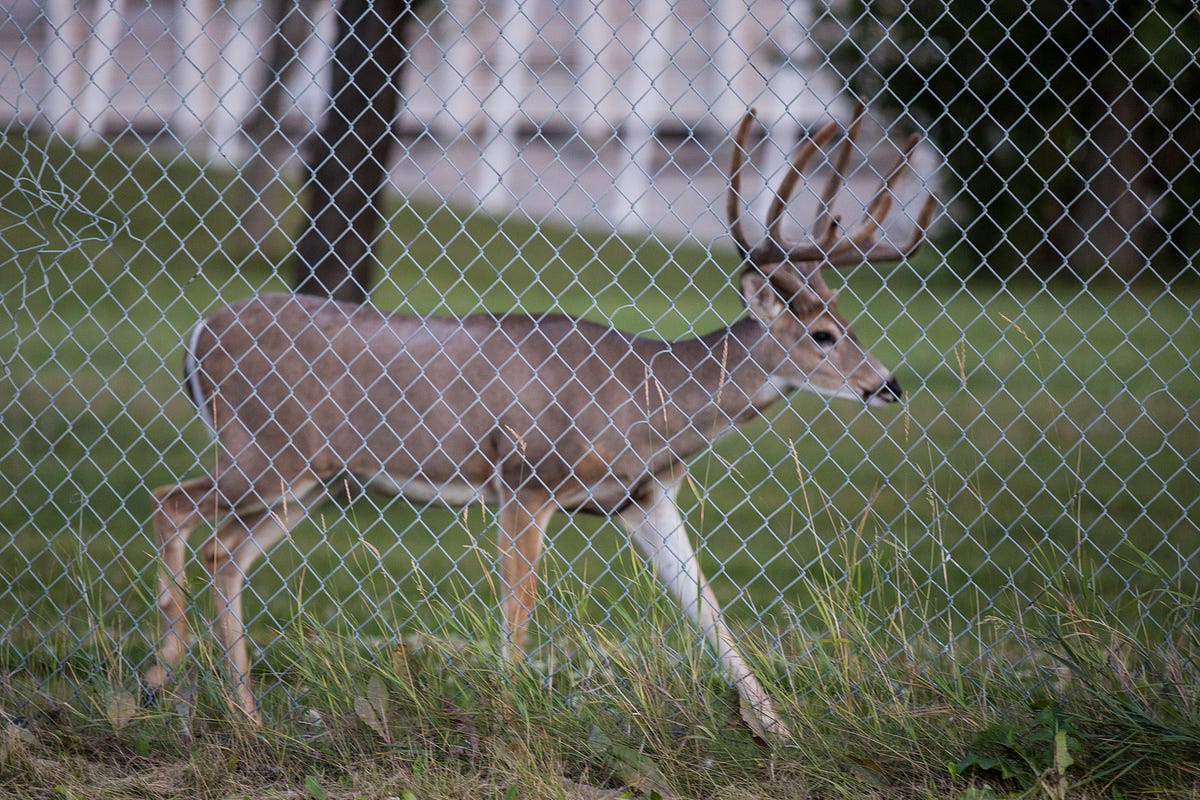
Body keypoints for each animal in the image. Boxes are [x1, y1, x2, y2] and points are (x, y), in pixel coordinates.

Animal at [144, 101, 935, 739]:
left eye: (852, 325)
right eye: (824, 334)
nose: (887, 385)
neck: (642, 401)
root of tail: (195, 336)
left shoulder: (644, 497)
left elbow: (707, 608)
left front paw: (779, 728)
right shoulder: (526, 478)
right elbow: (517, 613)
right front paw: (507, 712)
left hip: (311, 479)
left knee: (224, 551)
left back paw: (246, 718)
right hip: (265, 451)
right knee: (171, 501)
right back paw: (162, 671)